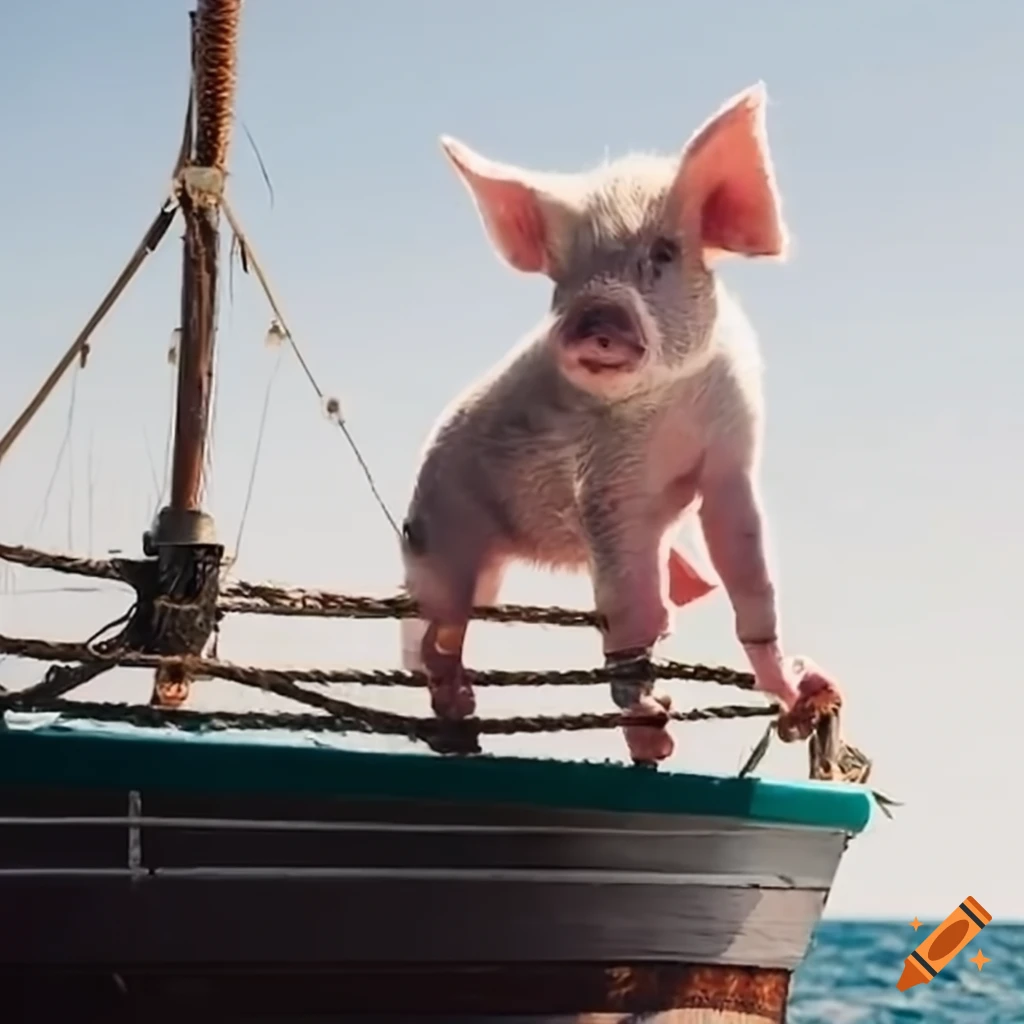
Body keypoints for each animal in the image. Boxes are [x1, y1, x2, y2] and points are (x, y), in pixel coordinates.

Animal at [400, 83, 841, 763]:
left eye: (663, 253)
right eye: (562, 276)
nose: (595, 314)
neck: (671, 404)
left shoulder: (731, 453)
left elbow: (747, 565)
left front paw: (802, 685)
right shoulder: (606, 481)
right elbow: (631, 609)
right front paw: (655, 740)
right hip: (445, 538)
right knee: (438, 633)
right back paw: (459, 722)